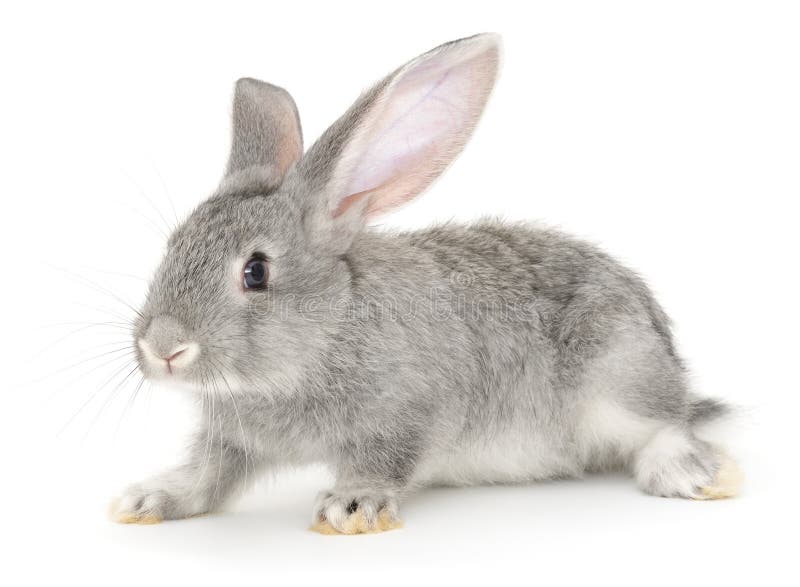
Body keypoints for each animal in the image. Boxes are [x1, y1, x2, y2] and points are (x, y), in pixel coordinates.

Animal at [110, 33, 742, 534]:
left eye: (256, 271)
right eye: (172, 247)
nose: (162, 348)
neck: (326, 332)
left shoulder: (408, 412)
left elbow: (384, 460)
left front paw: (352, 506)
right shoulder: (232, 441)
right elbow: (209, 477)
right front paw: (148, 498)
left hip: (616, 371)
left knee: (666, 425)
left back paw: (692, 475)